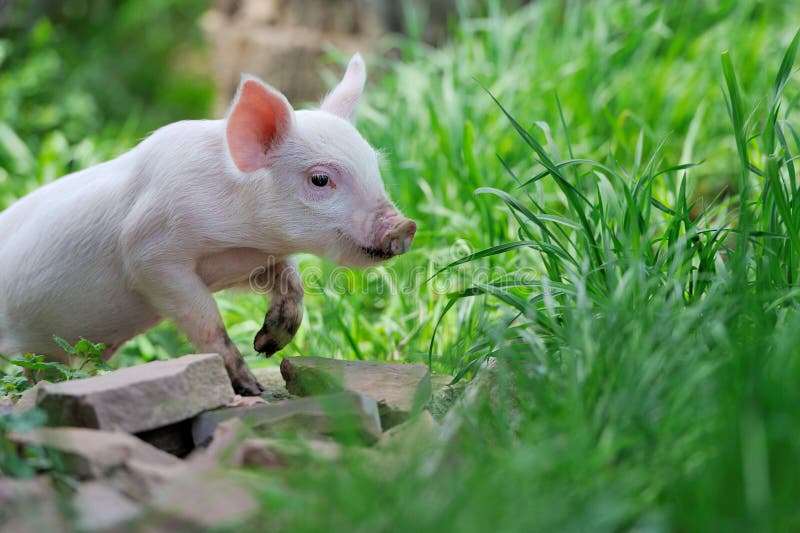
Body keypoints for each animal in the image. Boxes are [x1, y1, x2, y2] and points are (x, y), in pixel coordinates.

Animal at [0, 54, 416, 395]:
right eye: (320, 179)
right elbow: (205, 319)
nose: (406, 226)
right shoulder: (150, 251)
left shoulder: (247, 260)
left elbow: (292, 282)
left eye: (374, 166)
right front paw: (250, 387)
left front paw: (267, 344)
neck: (245, 232)